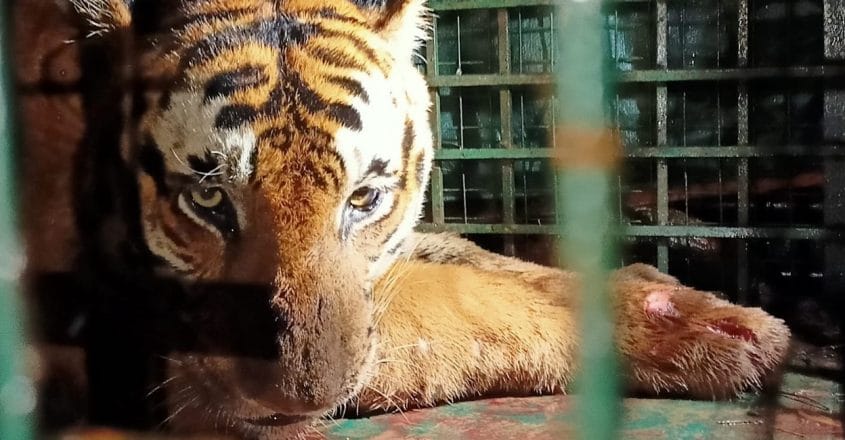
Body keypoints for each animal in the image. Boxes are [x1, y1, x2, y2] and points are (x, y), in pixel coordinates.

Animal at [60, 0, 791, 438]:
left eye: (364, 198)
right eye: (208, 200)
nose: (296, 403)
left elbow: (469, 258)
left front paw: (665, 290)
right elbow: (469, 308)